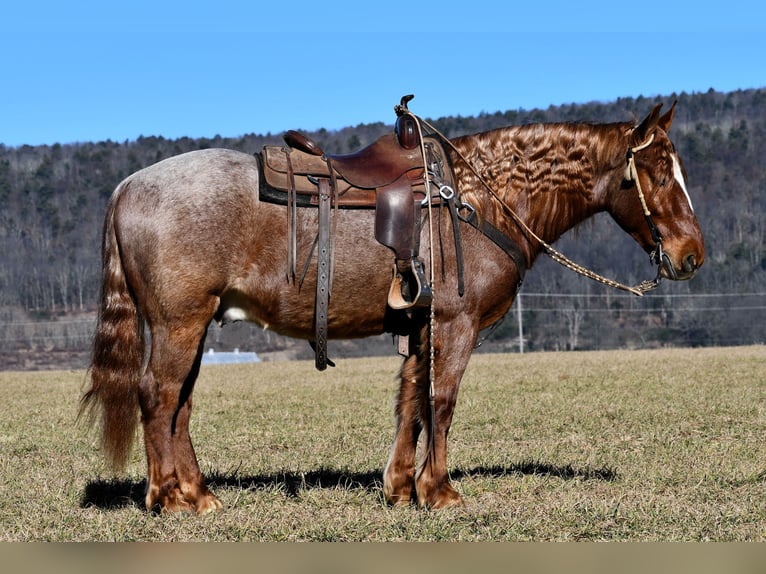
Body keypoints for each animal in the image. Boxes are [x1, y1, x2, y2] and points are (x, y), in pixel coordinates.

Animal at [80, 101, 704, 513]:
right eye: (655, 172)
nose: (691, 255)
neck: (477, 200)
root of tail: (127, 187)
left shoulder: (422, 326)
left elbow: (412, 400)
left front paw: (402, 485)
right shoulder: (455, 323)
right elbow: (442, 401)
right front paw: (439, 490)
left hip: (195, 324)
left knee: (179, 403)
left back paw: (199, 493)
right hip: (178, 323)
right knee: (157, 397)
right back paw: (167, 497)